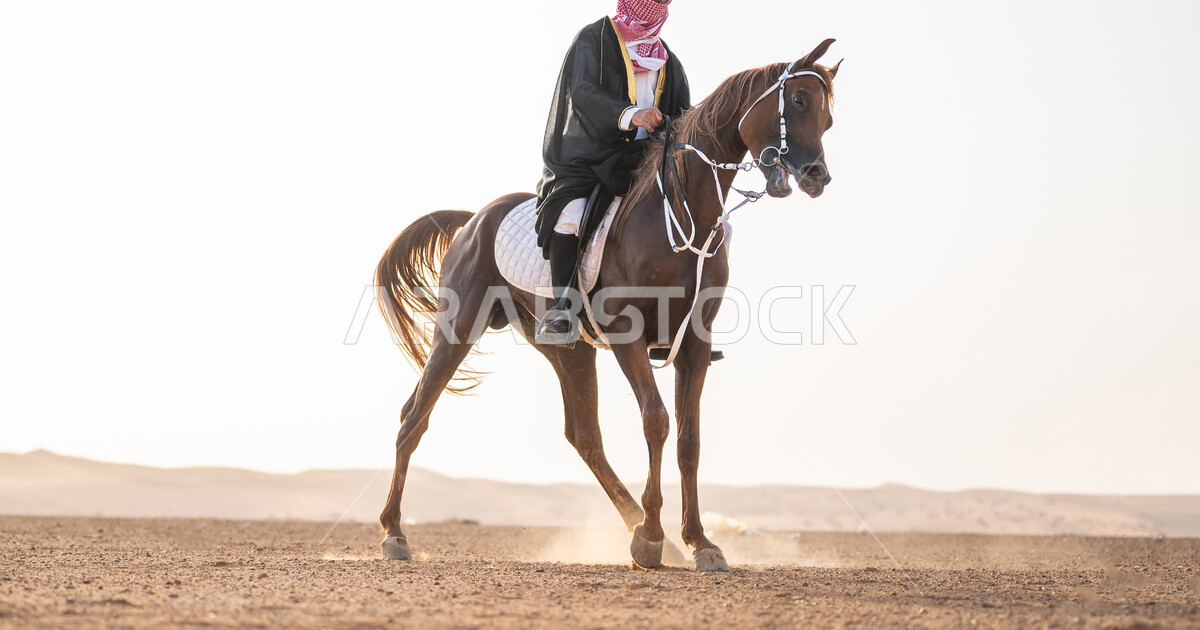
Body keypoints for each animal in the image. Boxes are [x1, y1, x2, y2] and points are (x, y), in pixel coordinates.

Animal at [373, 39, 840, 572]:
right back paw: (393, 533)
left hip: (568, 350)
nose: (816, 175)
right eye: (798, 102)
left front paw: (697, 541)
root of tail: (475, 220)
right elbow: (656, 420)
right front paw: (653, 536)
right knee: (415, 415)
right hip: (457, 329)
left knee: (584, 436)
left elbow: (689, 439)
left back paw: (640, 525)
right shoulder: (626, 334)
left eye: (828, 118)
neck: (681, 216)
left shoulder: (695, 344)